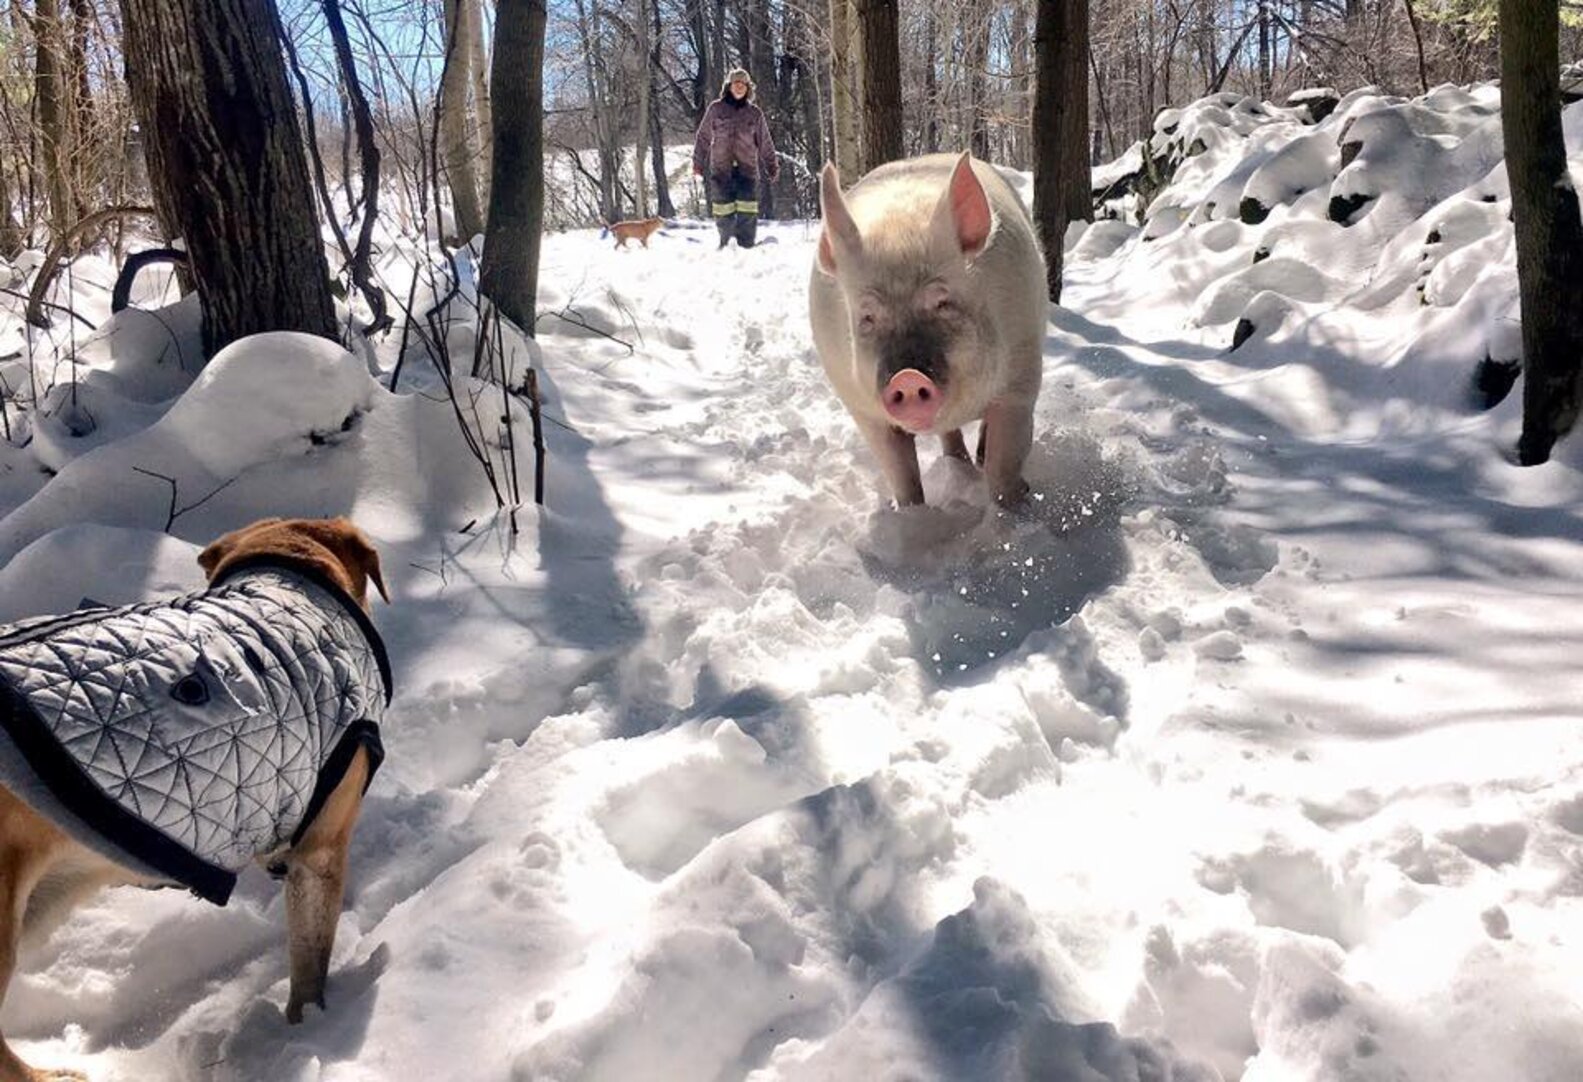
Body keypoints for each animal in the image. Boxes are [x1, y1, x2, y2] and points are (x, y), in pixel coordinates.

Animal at [809, 151, 1048, 507]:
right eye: (867, 317)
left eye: (942, 303)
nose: (907, 377)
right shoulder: (861, 408)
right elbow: (901, 474)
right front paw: (911, 513)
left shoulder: (1021, 379)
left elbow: (1002, 466)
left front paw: (1016, 508)